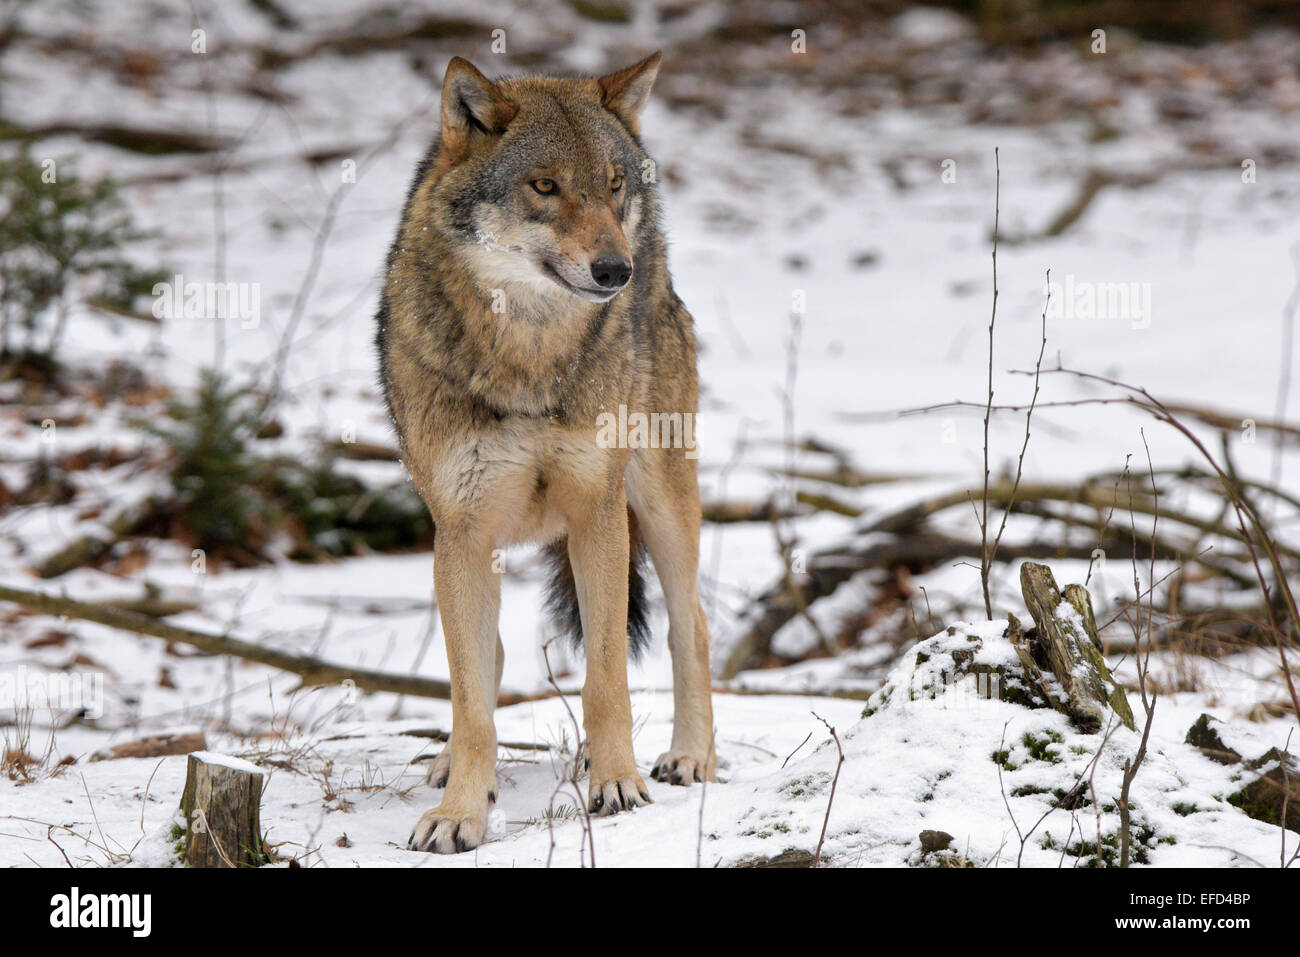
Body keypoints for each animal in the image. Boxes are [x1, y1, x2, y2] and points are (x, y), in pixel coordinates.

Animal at [374, 52, 716, 854]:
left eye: (613, 185)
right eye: (545, 186)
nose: (616, 271)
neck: (528, 352)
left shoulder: (597, 511)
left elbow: (605, 677)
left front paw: (619, 783)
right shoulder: (462, 532)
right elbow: (472, 694)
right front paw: (460, 811)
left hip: (659, 500)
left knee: (689, 626)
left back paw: (688, 755)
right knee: (488, 659)